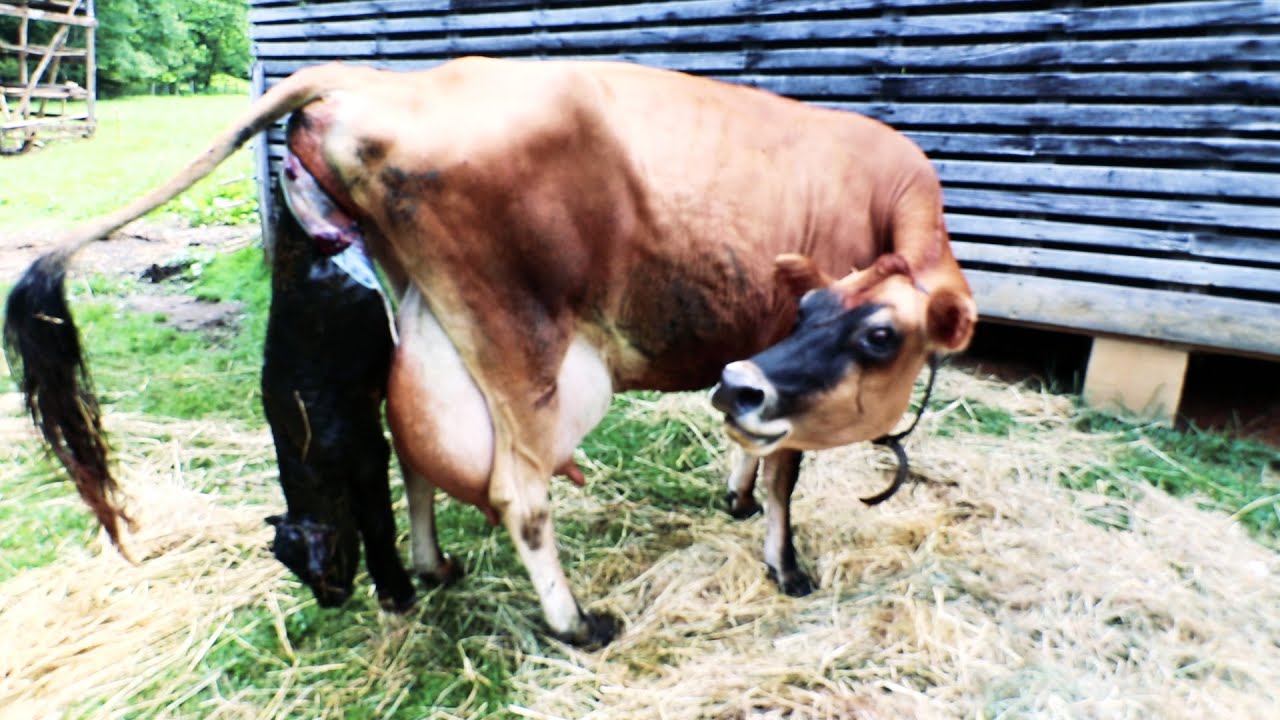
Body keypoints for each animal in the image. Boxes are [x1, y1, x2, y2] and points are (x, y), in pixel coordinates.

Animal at [4, 57, 975, 647]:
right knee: (519, 493)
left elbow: (752, 442)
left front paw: (734, 495)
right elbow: (784, 472)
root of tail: (371, 82)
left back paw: (432, 567)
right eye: (877, 337)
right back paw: (577, 623)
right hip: (523, 338)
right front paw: (785, 564)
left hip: (429, 310)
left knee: (410, 447)